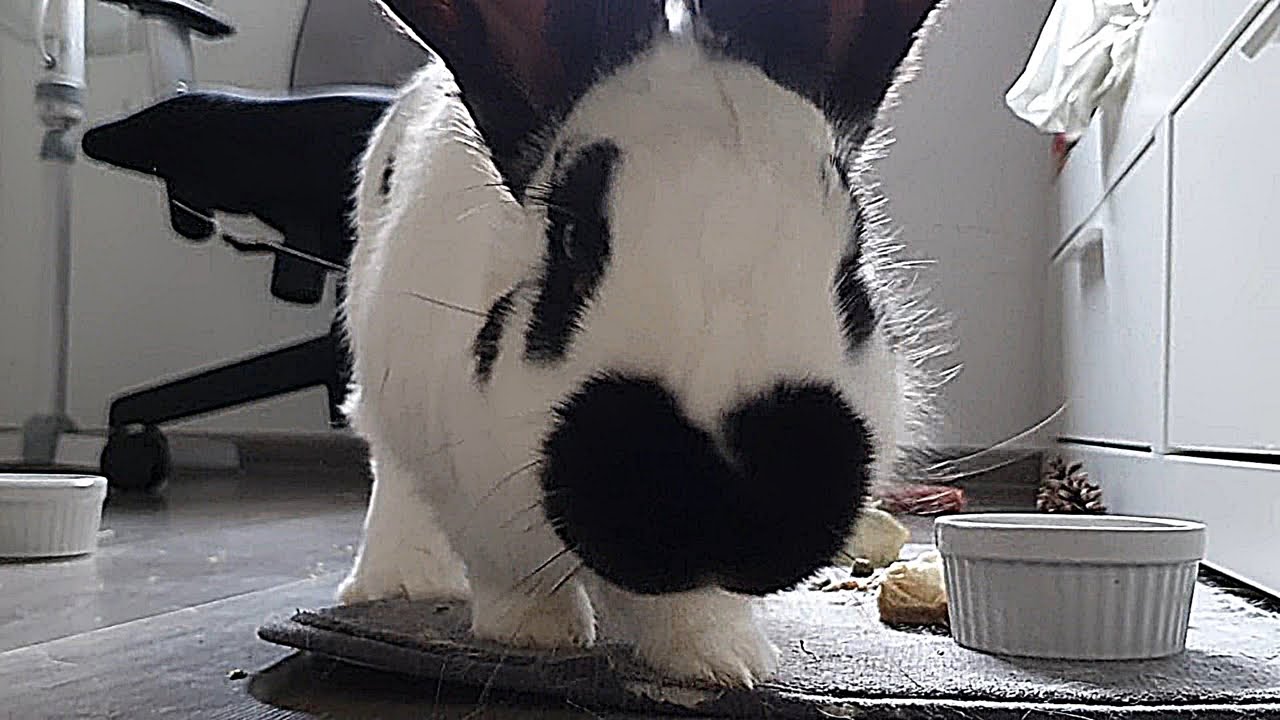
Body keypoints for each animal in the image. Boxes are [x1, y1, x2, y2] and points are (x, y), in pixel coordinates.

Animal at [338, 0, 950, 688]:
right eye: (571, 239)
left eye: (854, 263)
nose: (727, 490)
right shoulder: (460, 472)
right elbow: (509, 572)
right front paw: (536, 635)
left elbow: (692, 605)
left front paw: (721, 661)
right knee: (389, 473)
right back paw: (397, 583)